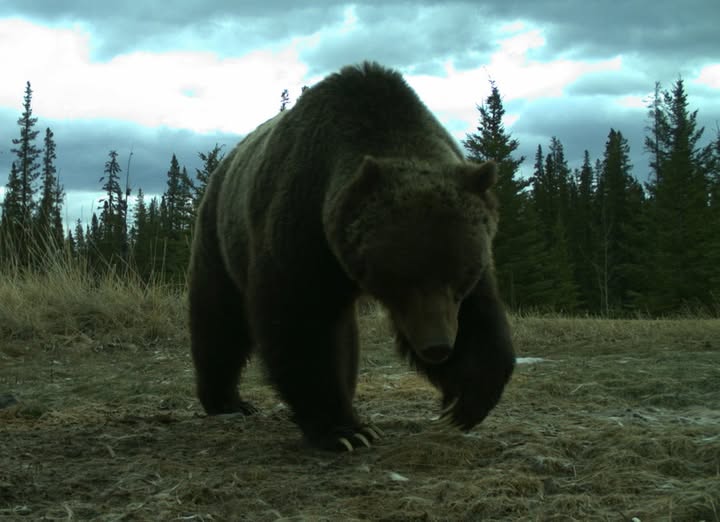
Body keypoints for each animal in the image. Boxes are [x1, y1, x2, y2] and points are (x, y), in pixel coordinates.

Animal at [188, 62, 515, 451]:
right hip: (218, 237)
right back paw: (227, 400)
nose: (438, 346)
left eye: (461, 278)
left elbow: (482, 315)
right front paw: (346, 430)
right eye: (404, 279)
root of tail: (220, 167)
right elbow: (299, 322)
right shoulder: (301, 226)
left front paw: (467, 400)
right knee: (219, 317)